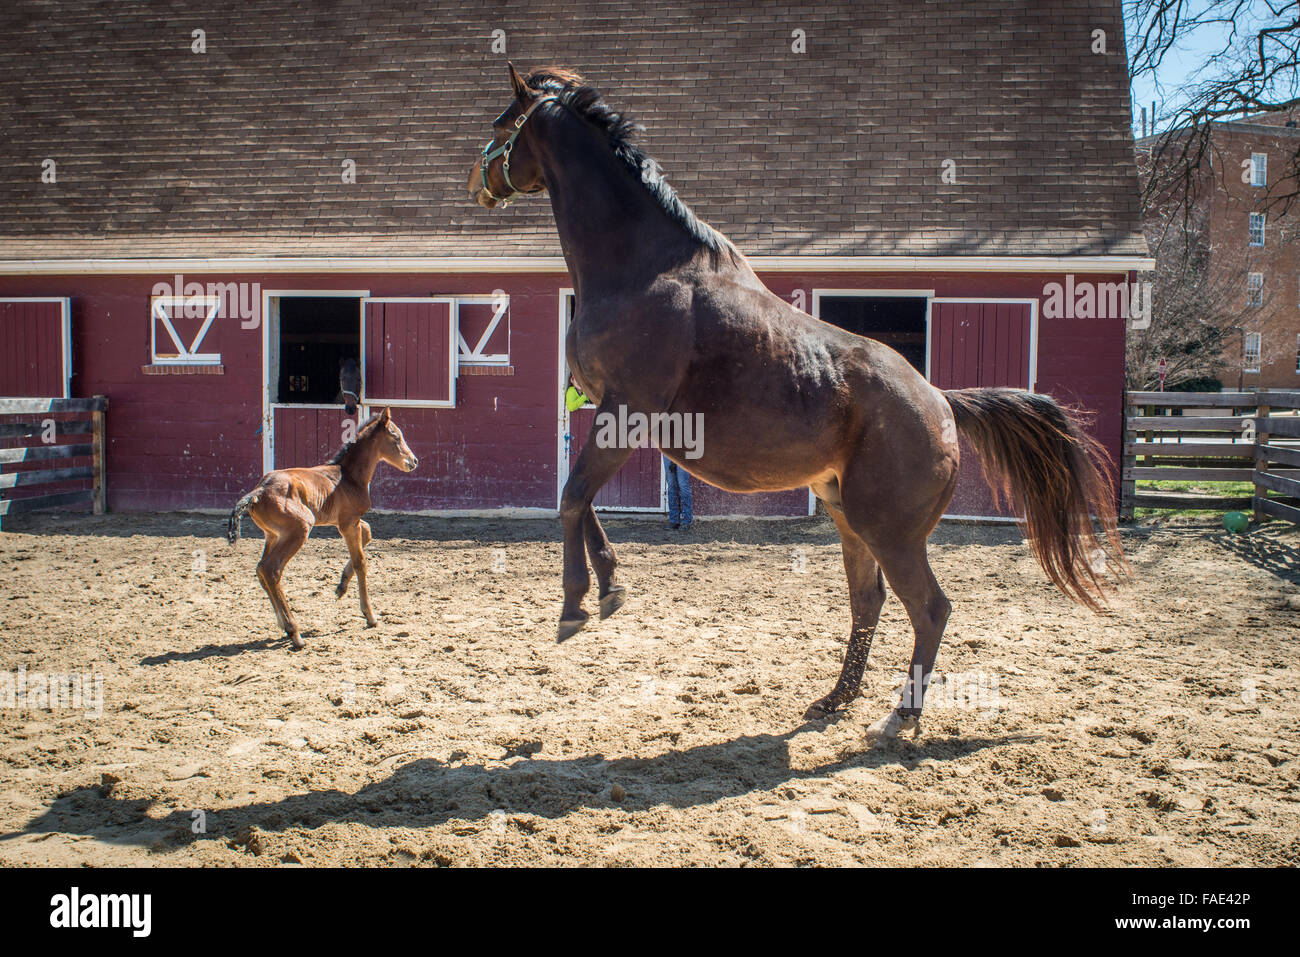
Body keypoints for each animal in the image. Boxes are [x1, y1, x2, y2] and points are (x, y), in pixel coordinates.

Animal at [227, 408, 418, 649]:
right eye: (396, 437)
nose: (414, 461)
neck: (348, 476)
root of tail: (258, 492)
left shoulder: (348, 522)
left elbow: (367, 533)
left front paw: (341, 587)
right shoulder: (348, 523)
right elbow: (361, 562)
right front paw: (370, 615)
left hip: (272, 535)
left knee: (261, 569)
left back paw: (282, 625)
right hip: (299, 529)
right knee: (272, 569)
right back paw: (295, 632)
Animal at [468, 65, 1125, 737]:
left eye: (501, 122)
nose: (477, 182)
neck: (641, 270)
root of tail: (940, 402)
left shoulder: (626, 412)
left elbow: (574, 497)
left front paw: (574, 603)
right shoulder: (612, 417)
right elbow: (583, 498)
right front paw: (608, 586)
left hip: (890, 532)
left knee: (930, 609)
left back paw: (898, 717)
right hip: (848, 518)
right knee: (869, 601)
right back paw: (836, 699)